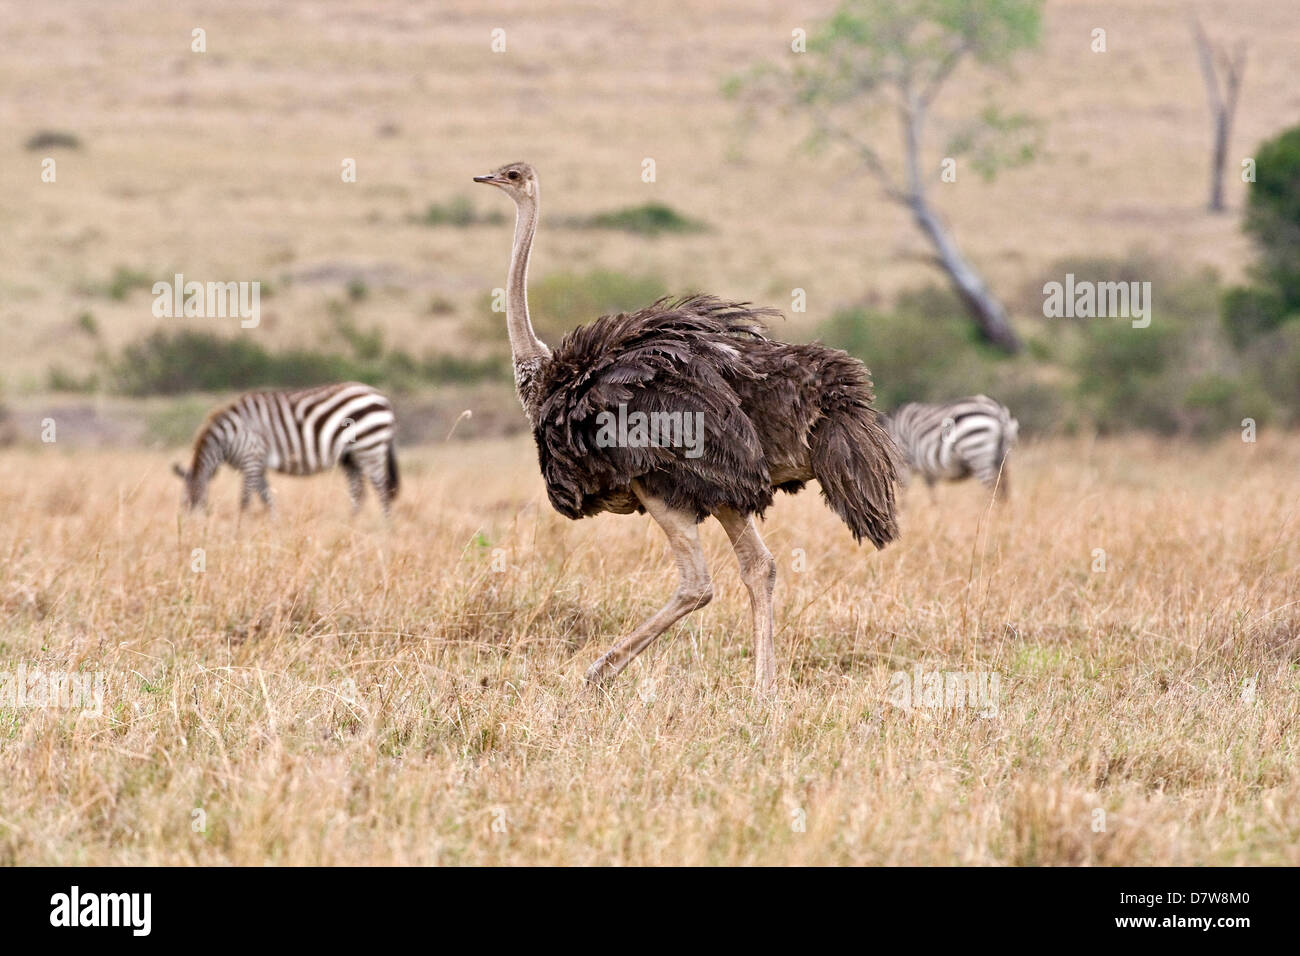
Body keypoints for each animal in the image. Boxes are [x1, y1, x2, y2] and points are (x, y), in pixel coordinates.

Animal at [172, 382, 399, 514]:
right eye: (183, 505)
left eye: (196, 503)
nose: (191, 533)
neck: (227, 438)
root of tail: (382, 397)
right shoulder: (257, 464)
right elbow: (266, 497)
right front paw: (274, 525)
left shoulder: (252, 457)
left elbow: (245, 500)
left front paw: (240, 528)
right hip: (351, 457)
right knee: (359, 493)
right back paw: (352, 526)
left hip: (370, 445)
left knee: (383, 490)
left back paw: (385, 530)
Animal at [883, 395, 1018, 501]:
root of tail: (998, 410)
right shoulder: (927, 471)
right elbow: (933, 495)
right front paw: (936, 515)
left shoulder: (901, 464)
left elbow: (903, 497)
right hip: (1003, 457)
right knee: (1004, 492)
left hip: (977, 451)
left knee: (994, 491)